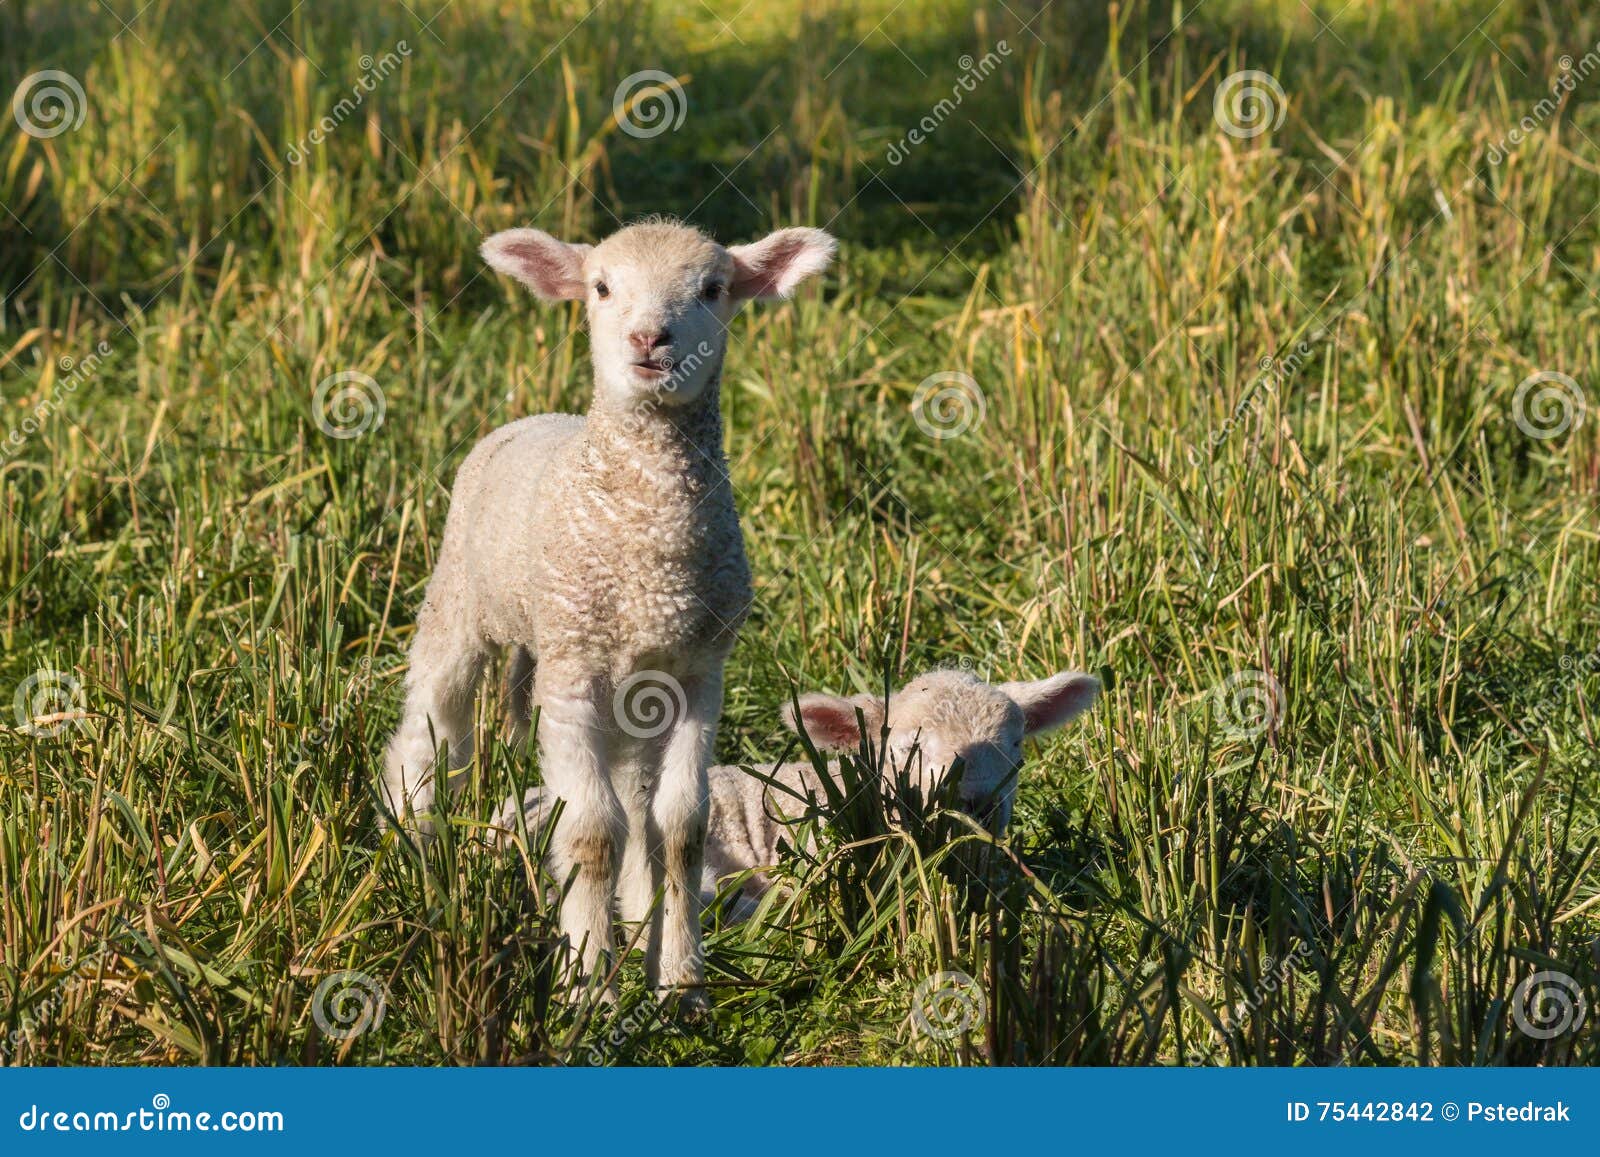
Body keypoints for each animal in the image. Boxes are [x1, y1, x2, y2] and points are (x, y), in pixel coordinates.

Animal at [381, 219, 836, 1007]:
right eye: (599, 286)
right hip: (461, 601)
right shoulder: (572, 675)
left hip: (629, 689)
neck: (651, 549)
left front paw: (680, 981)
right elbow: (590, 833)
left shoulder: (700, 672)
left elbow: (678, 828)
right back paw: (420, 845)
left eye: (713, 288)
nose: (649, 337)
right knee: (430, 729)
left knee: (632, 793)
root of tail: (538, 418)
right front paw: (589, 987)